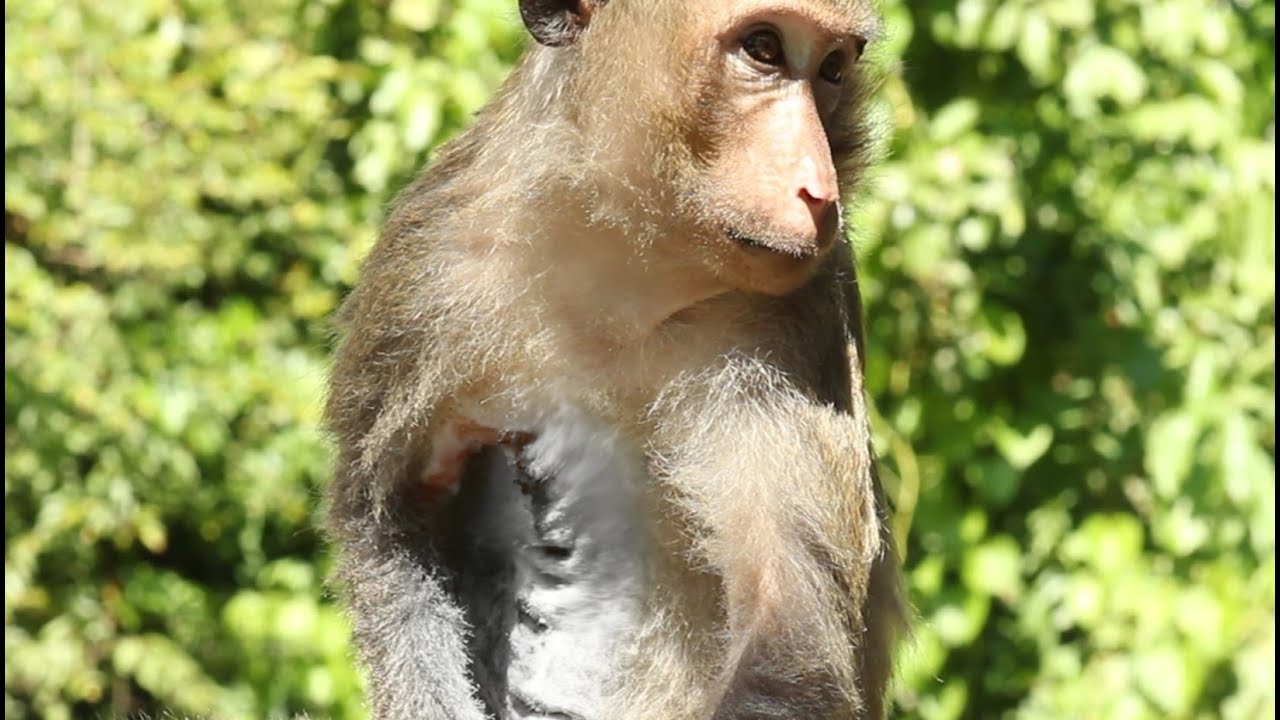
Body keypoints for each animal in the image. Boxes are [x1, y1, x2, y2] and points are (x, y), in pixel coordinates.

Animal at [323, 0, 905, 718]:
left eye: (832, 68)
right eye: (764, 49)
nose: (818, 190)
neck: (627, 267)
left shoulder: (799, 323)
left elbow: (791, 639)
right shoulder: (431, 262)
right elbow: (387, 517)